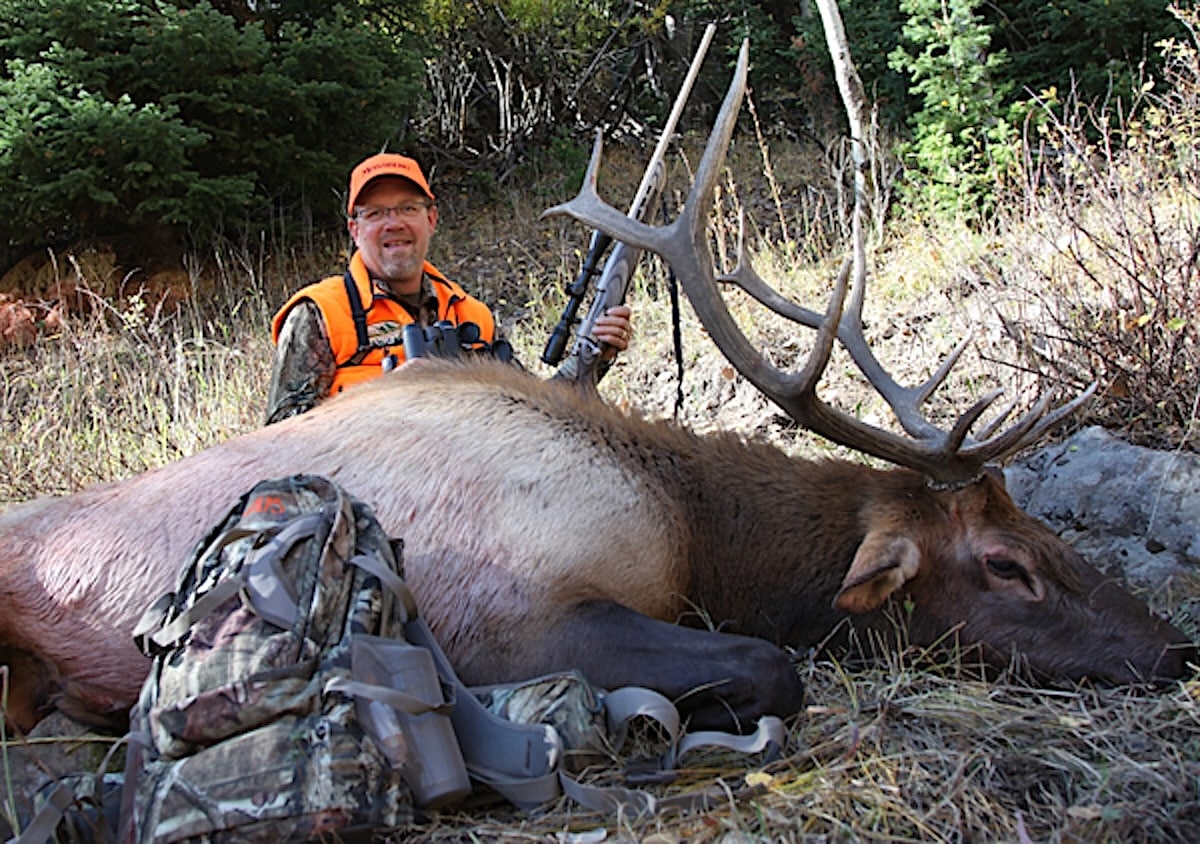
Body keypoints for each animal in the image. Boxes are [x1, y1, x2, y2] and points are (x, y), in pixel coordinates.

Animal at [1, 42, 1194, 739]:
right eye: (1004, 564)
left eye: (1042, 530)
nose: (1176, 649)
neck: (694, 527)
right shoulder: (507, 617)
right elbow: (771, 662)